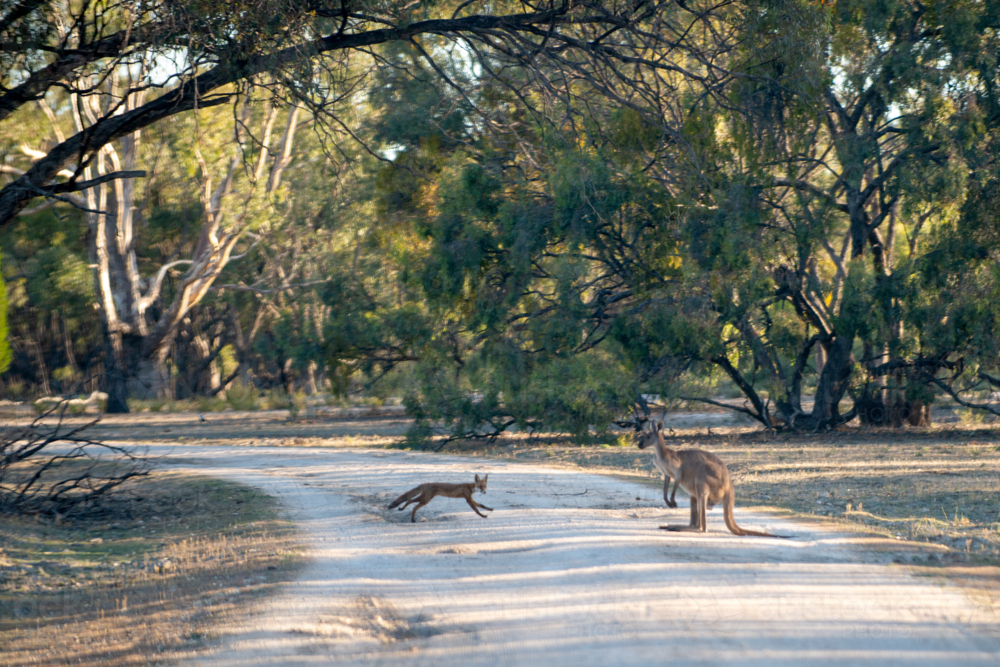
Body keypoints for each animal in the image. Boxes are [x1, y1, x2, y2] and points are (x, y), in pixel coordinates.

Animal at [638, 422, 787, 538]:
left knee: (702, 527)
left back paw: (681, 526)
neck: (660, 454)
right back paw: (673, 526)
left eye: (647, 436)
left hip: (704, 476)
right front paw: (668, 502)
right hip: (694, 491)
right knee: (696, 517)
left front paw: (673, 501)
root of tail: (729, 486)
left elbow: (676, 482)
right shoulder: (666, 474)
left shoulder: (677, 470)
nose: (639, 445)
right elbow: (665, 486)